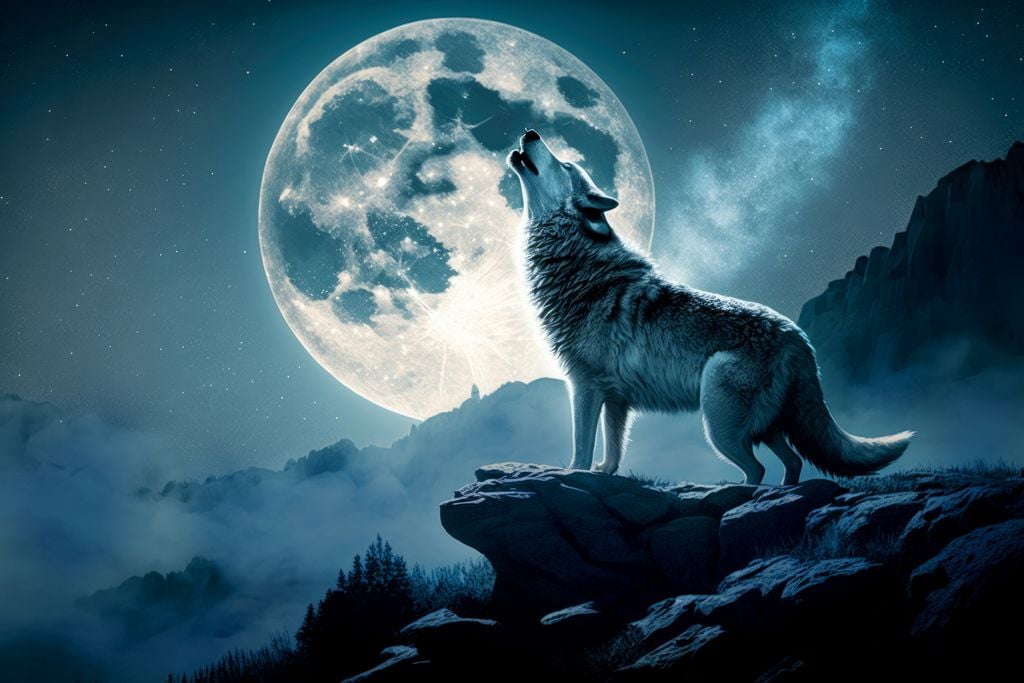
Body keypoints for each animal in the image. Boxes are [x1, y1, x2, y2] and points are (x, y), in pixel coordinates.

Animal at [507, 130, 912, 485]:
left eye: (565, 166)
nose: (531, 132)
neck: (576, 262)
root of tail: (800, 339)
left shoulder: (584, 385)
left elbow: (582, 446)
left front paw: (570, 473)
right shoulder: (617, 398)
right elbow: (614, 450)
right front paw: (603, 472)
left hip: (719, 426)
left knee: (757, 469)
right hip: (762, 429)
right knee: (793, 462)